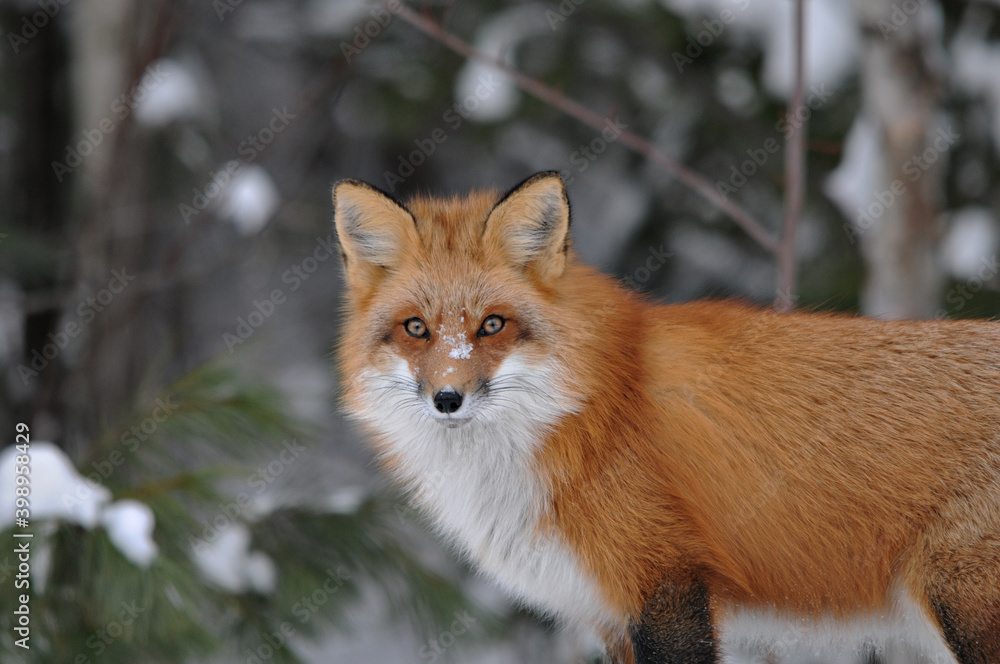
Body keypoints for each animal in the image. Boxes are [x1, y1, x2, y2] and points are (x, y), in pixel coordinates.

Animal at [332, 171, 1000, 664]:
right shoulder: (609, 615)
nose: (448, 398)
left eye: (492, 324)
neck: (583, 412)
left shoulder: (665, 583)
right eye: (417, 328)